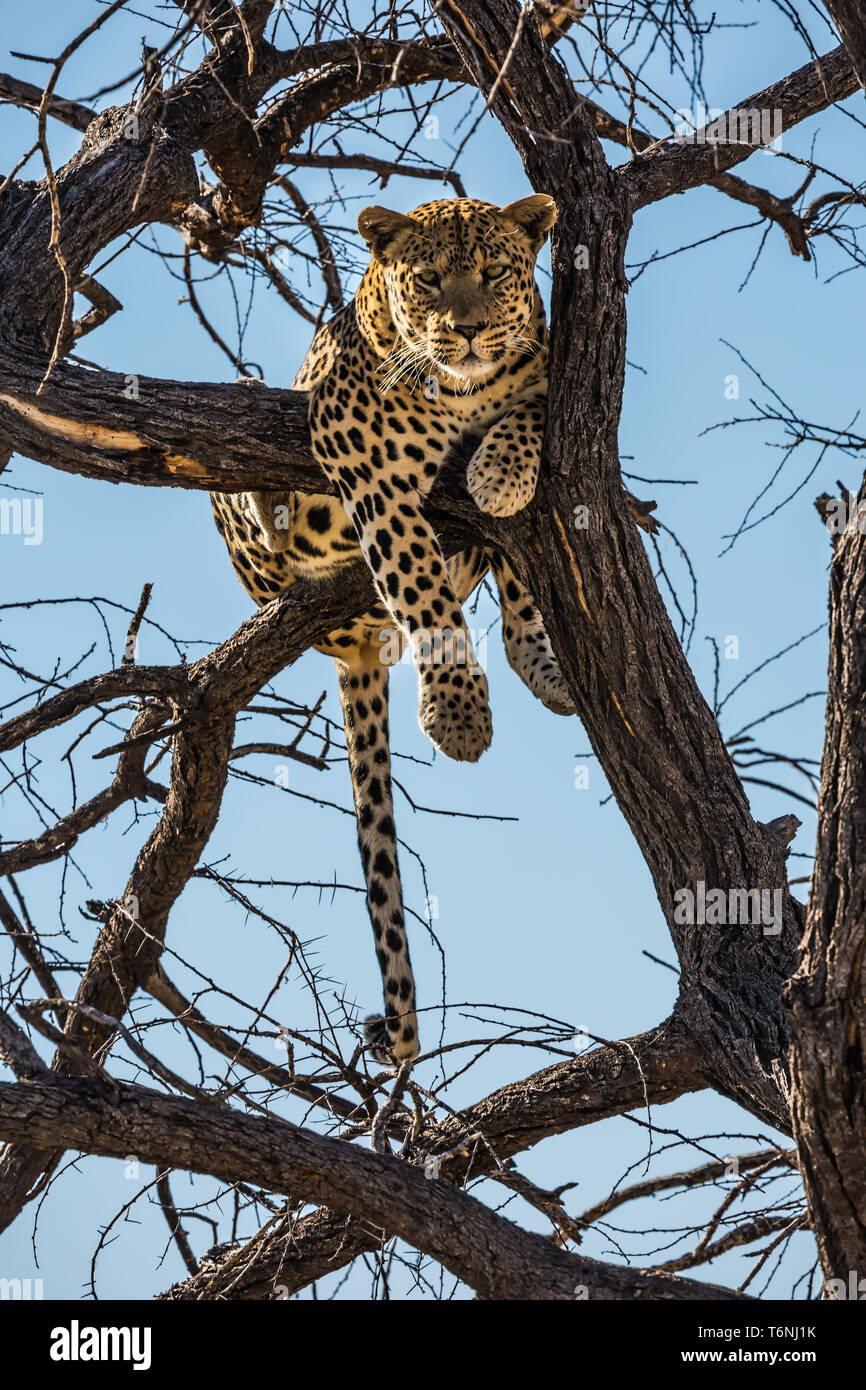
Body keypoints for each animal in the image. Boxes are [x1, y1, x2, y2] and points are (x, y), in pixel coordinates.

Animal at [211, 193, 577, 1063]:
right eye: (431, 279)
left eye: (495, 273)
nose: (468, 331)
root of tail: (350, 652)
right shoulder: (369, 466)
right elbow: (418, 581)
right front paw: (458, 713)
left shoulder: (546, 374)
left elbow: (530, 410)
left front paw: (500, 471)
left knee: (515, 591)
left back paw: (549, 668)